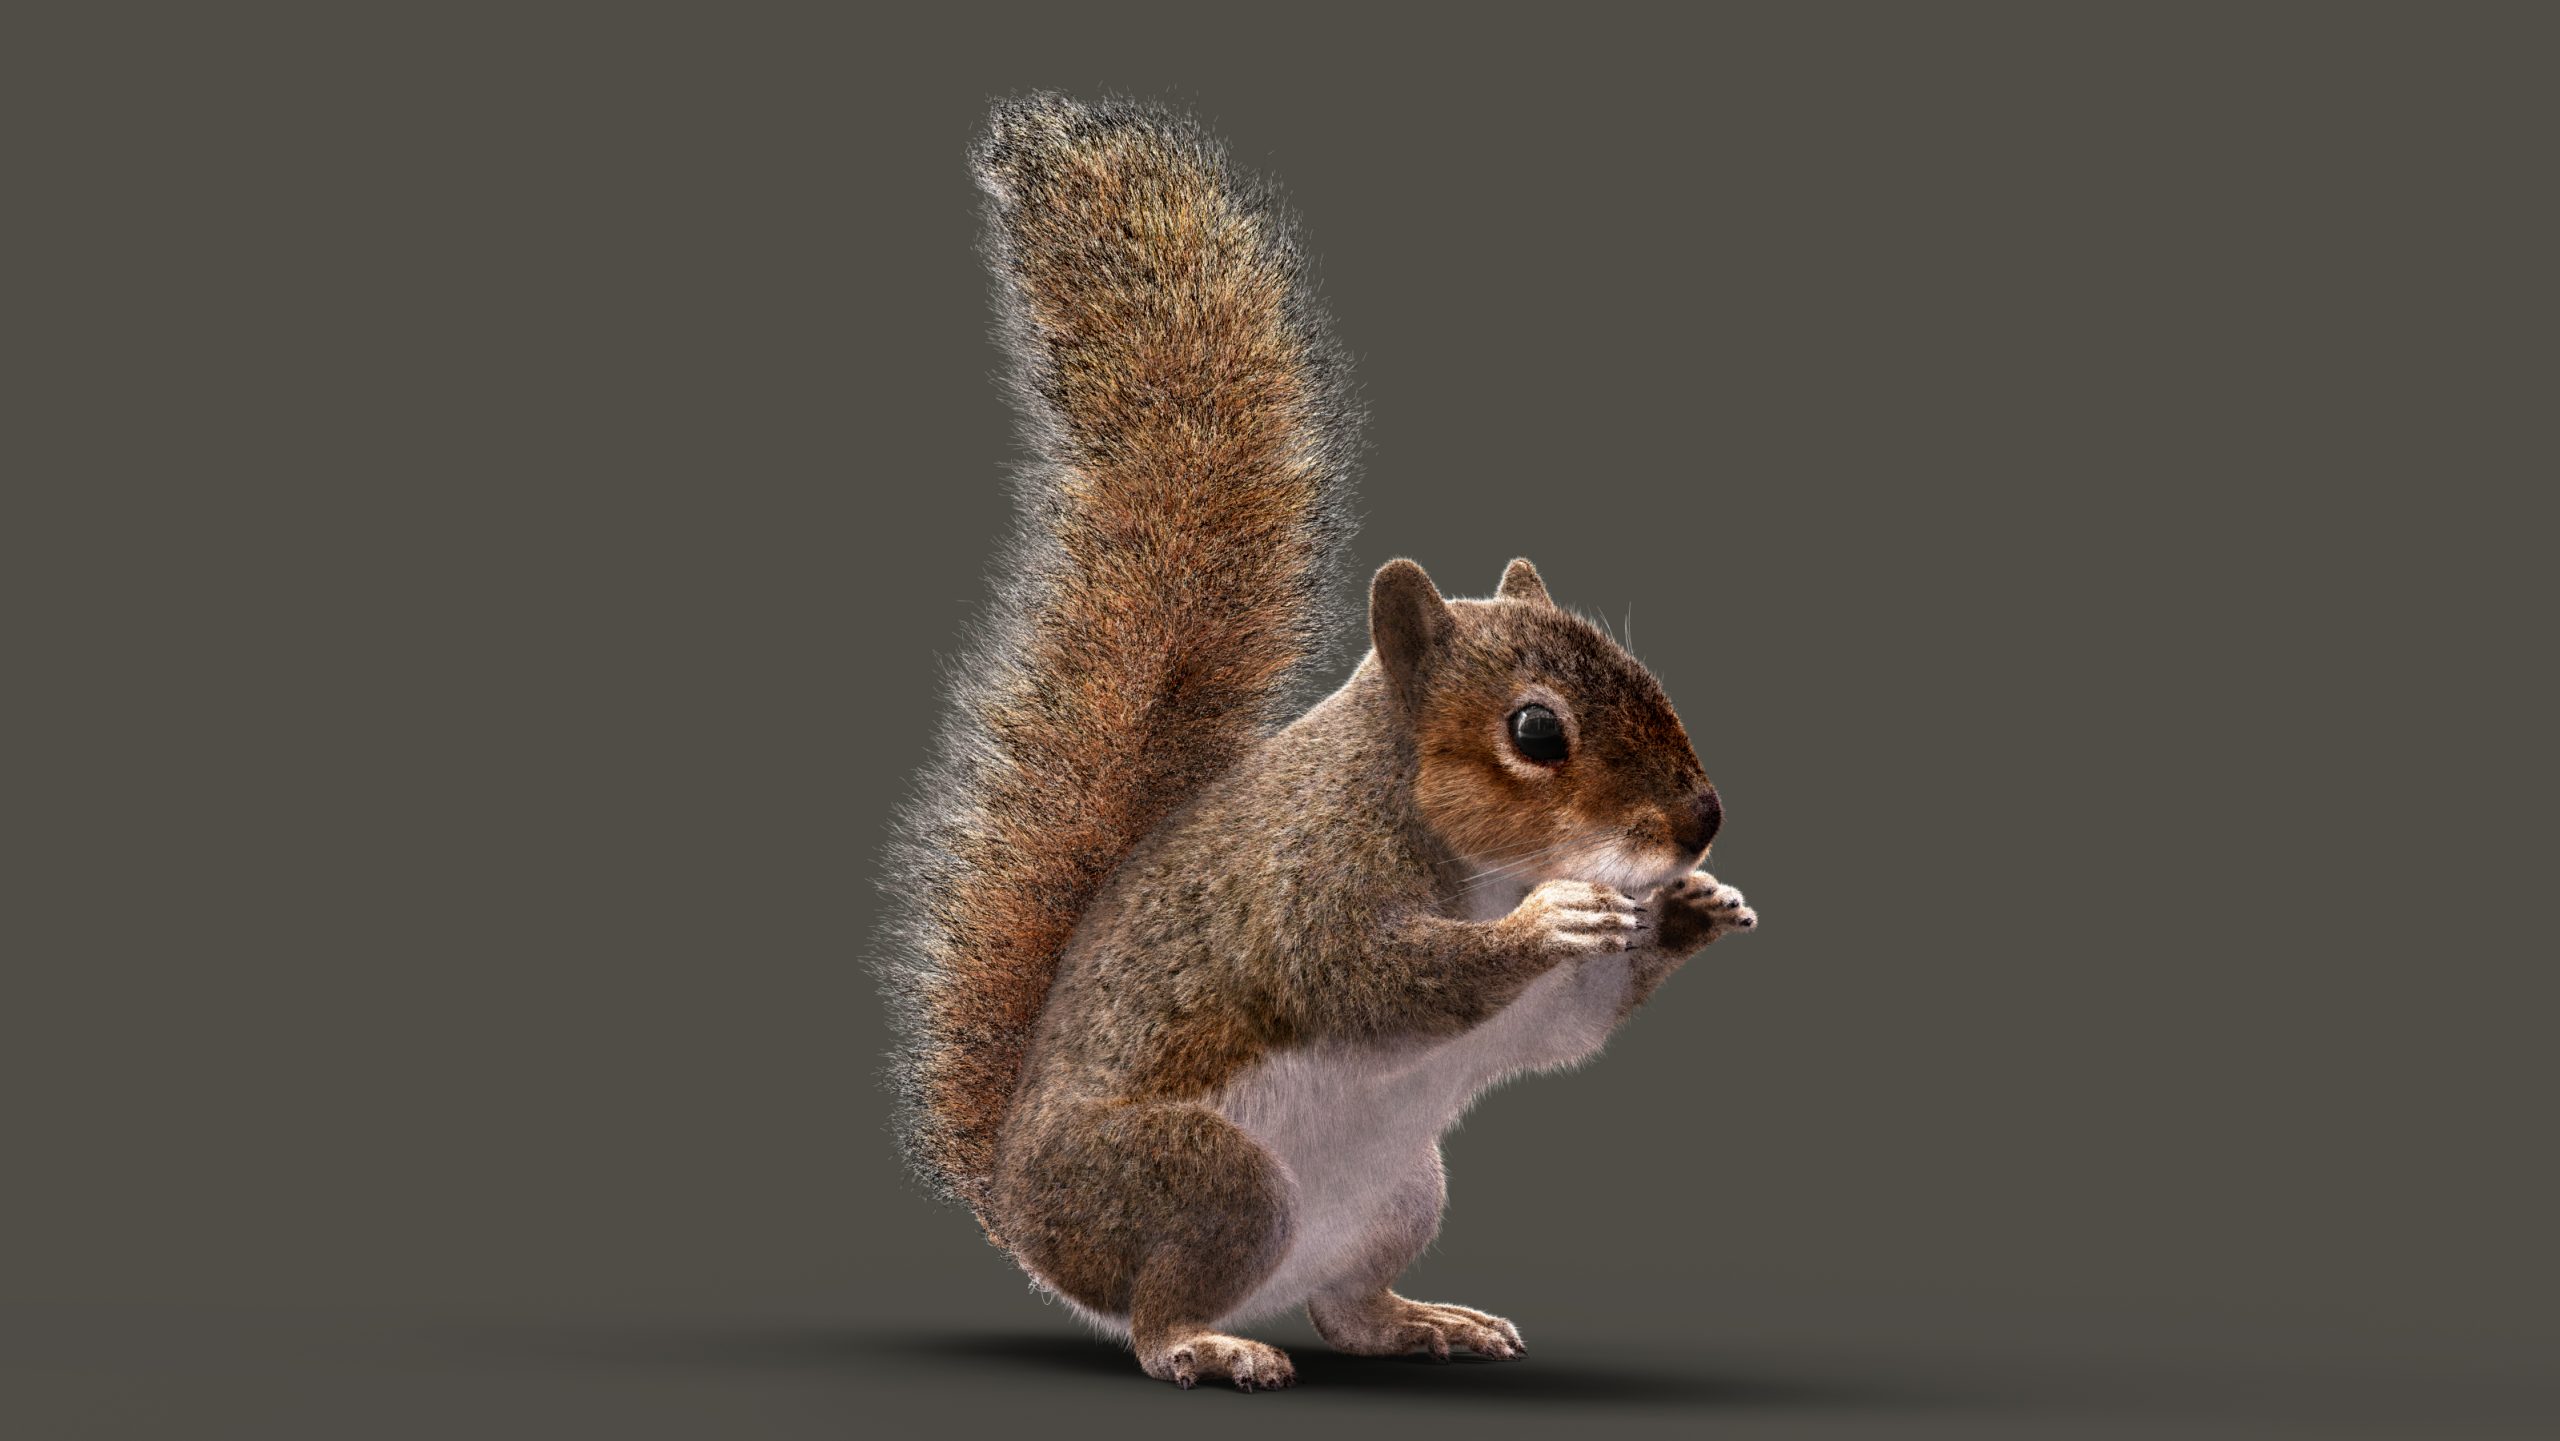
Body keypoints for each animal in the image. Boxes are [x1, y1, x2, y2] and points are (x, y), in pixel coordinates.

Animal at [879, 93, 1758, 1392]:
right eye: (1534, 730)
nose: (1700, 822)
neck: (1469, 852)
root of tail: (1026, 1218)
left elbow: (1563, 1026)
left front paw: (1695, 907)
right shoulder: (1304, 894)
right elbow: (1374, 976)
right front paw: (1548, 922)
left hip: (1402, 1190)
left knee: (1344, 1305)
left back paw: (1419, 1321)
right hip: (1208, 1181)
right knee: (1154, 1317)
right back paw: (1206, 1344)